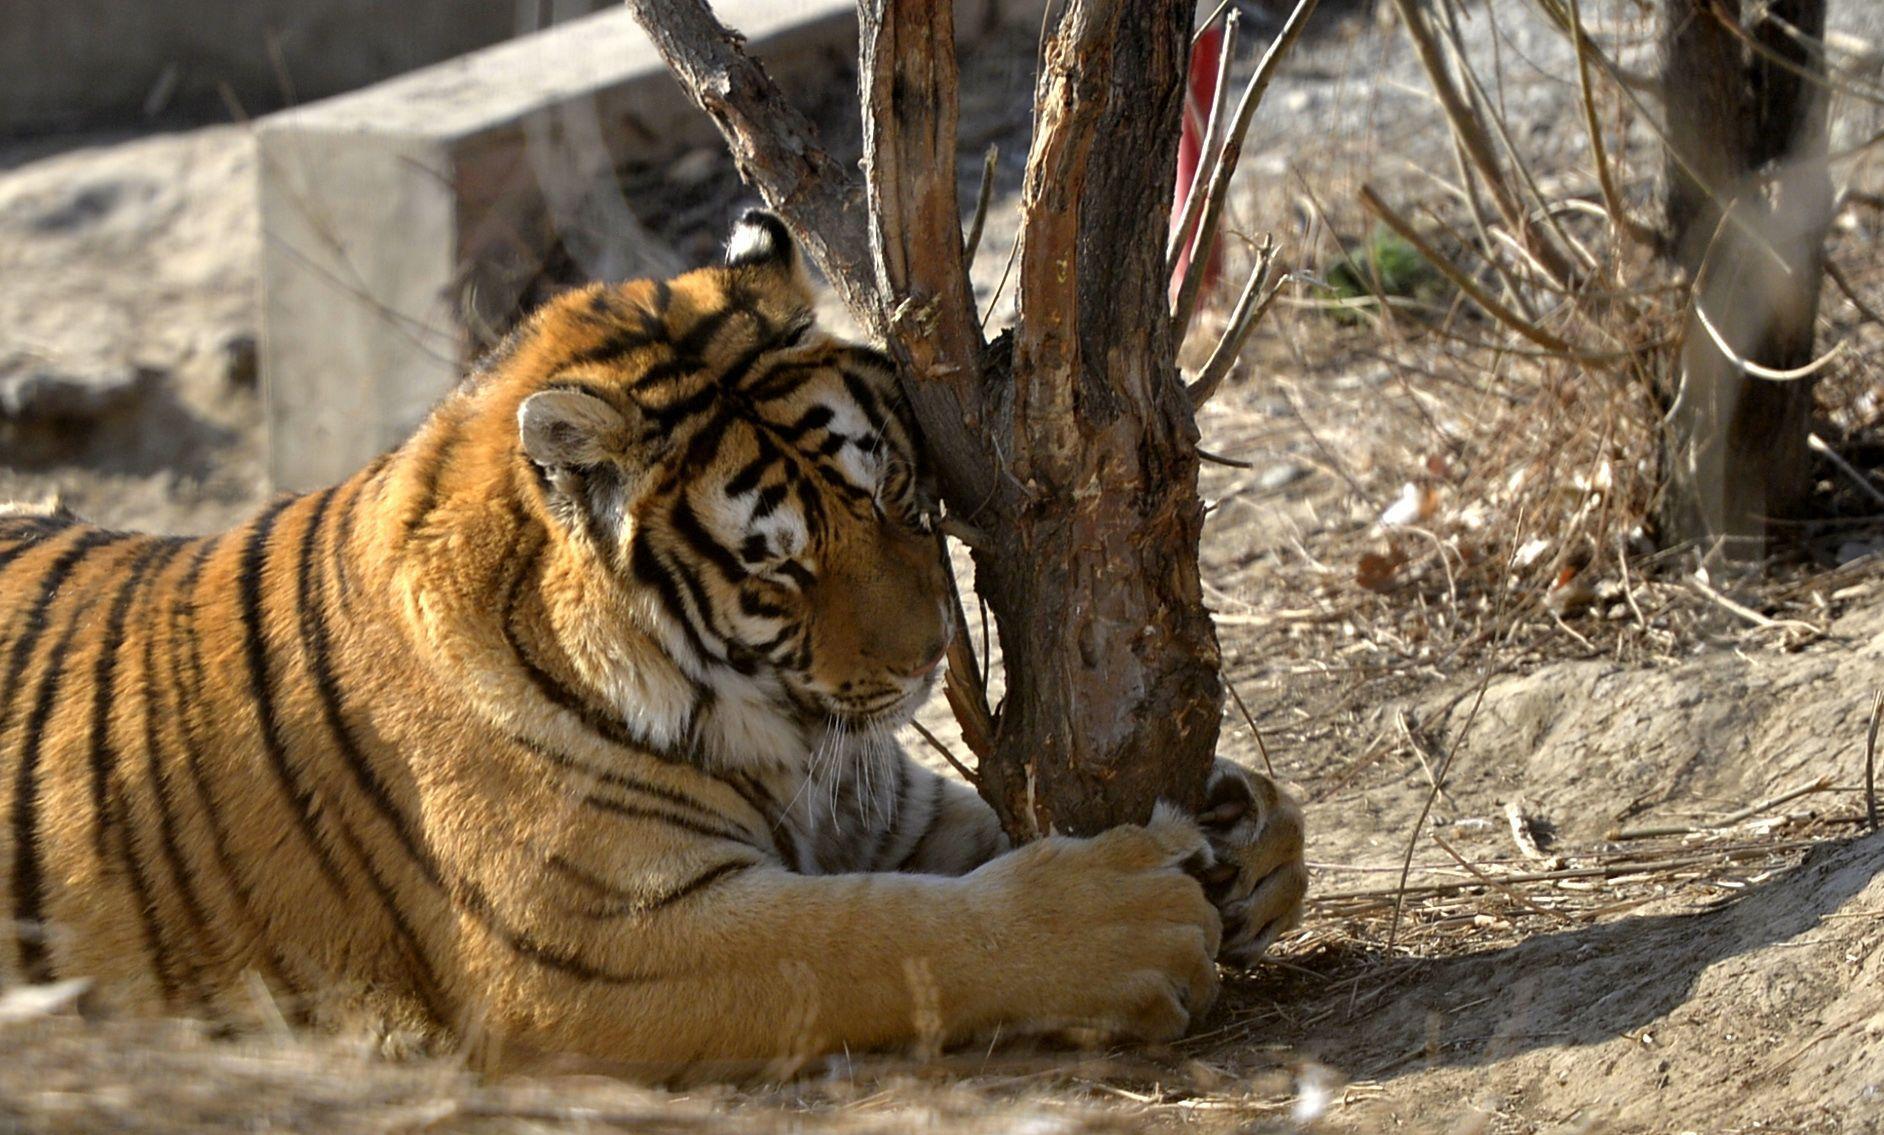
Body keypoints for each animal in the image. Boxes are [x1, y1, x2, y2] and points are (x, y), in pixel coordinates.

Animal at [0, 211, 1307, 1069]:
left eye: (892, 489)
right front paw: (1128, 924)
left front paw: (1250, 829)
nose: (929, 652)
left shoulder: (884, 809)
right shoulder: (592, 948)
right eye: (778, 562)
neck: (767, 719)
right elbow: (872, 932)